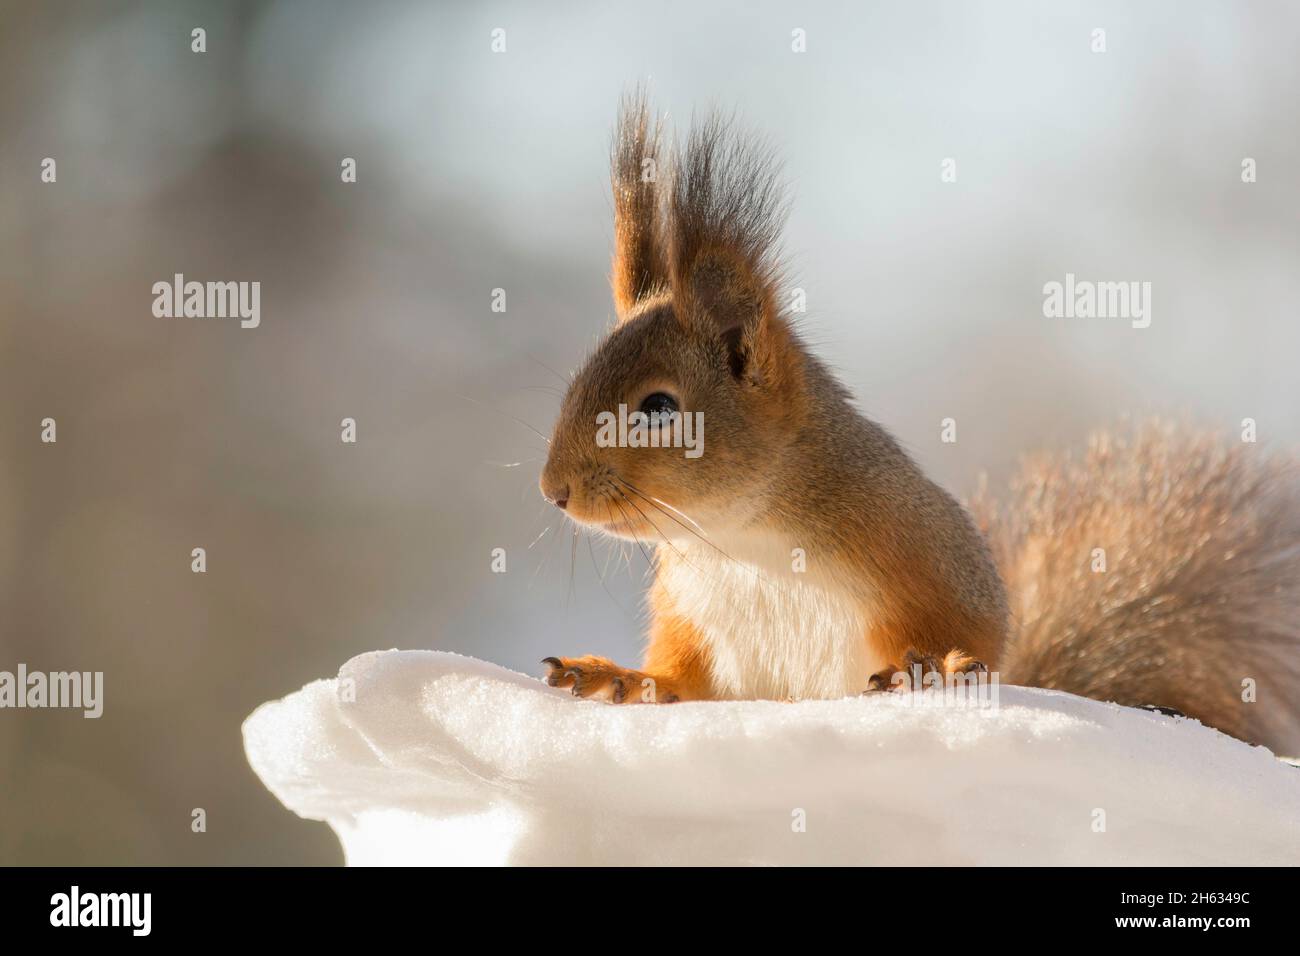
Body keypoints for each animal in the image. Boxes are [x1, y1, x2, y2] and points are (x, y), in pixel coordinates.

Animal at [538, 93, 1300, 753]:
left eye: (659, 408)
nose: (554, 489)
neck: (741, 538)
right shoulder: (689, 615)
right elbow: (680, 681)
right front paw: (618, 677)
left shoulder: (927, 548)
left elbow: (981, 633)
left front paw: (931, 668)